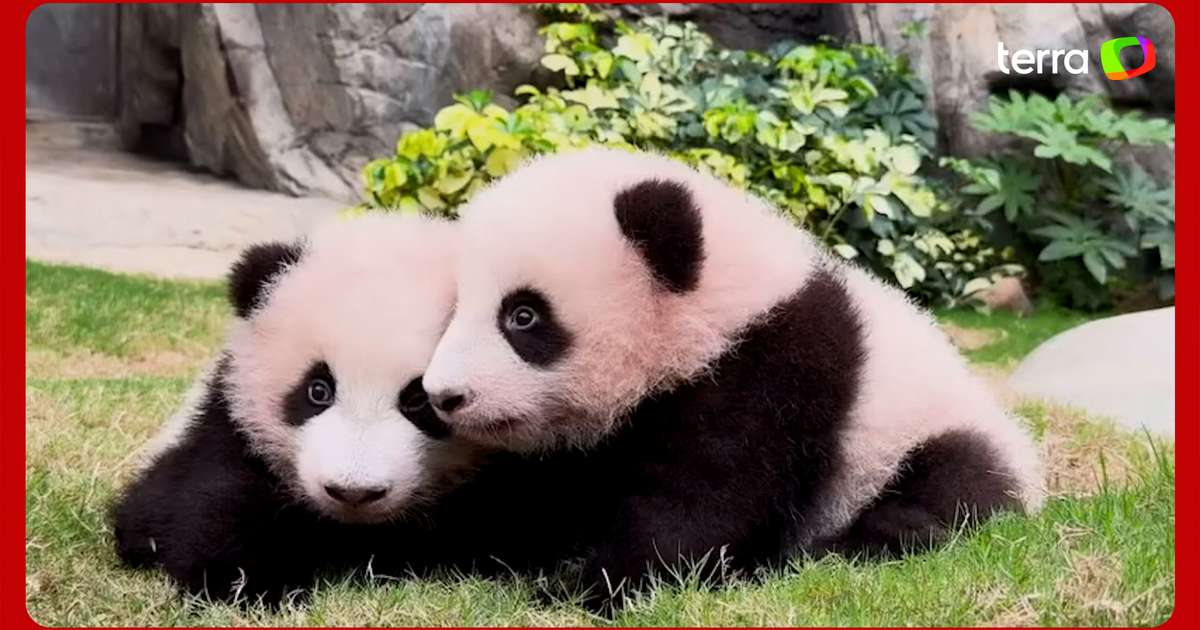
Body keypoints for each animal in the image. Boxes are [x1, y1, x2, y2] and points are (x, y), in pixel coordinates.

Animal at [110, 214, 478, 603]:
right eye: (318, 390)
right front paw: (240, 585)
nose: (353, 491)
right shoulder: (231, 416)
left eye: (420, 400)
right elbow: (219, 495)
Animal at [420, 148, 1043, 608]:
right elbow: (529, 499)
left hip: (926, 438)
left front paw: (578, 588)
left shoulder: (770, 371)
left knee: (947, 488)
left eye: (522, 316)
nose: (443, 396)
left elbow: (704, 505)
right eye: (457, 307)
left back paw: (829, 551)